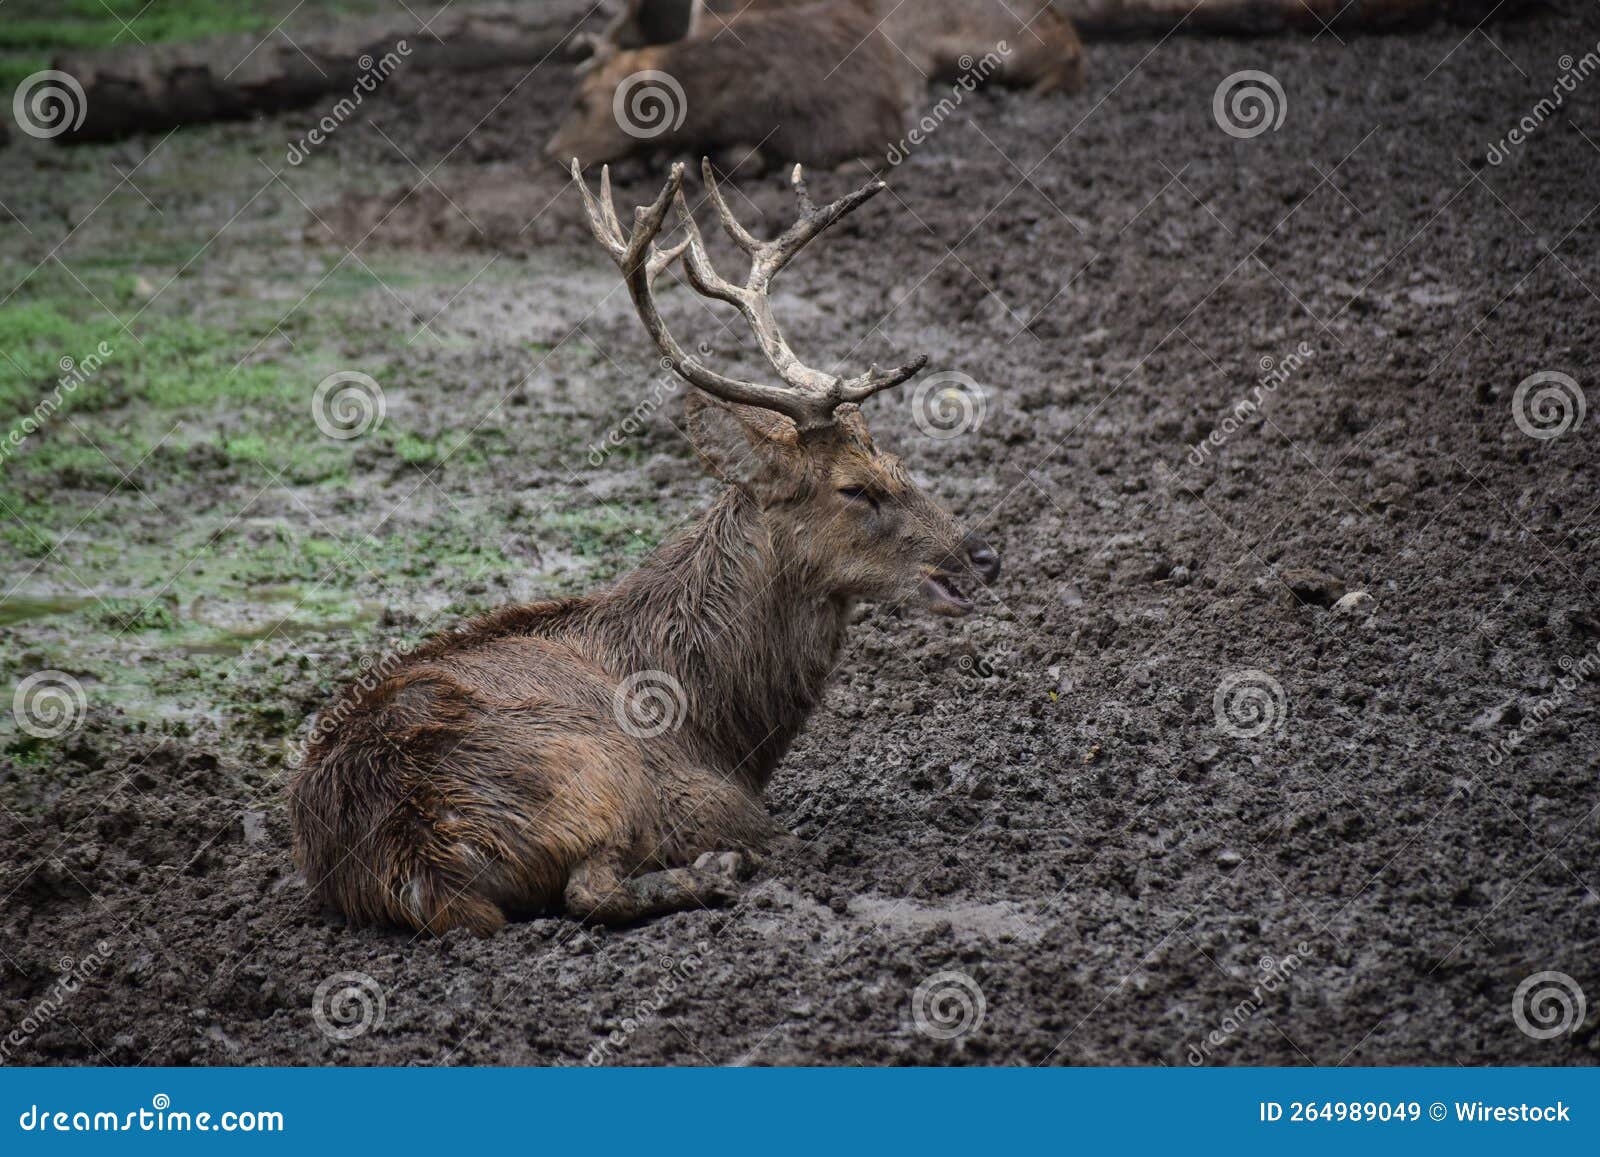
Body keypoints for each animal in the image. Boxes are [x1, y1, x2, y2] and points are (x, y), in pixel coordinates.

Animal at [288, 158, 1002, 936]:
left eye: (899, 463)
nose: (982, 556)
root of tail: (420, 859)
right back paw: (718, 872)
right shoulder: (704, 791)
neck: (721, 720)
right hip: (599, 772)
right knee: (591, 886)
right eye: (856, 488)